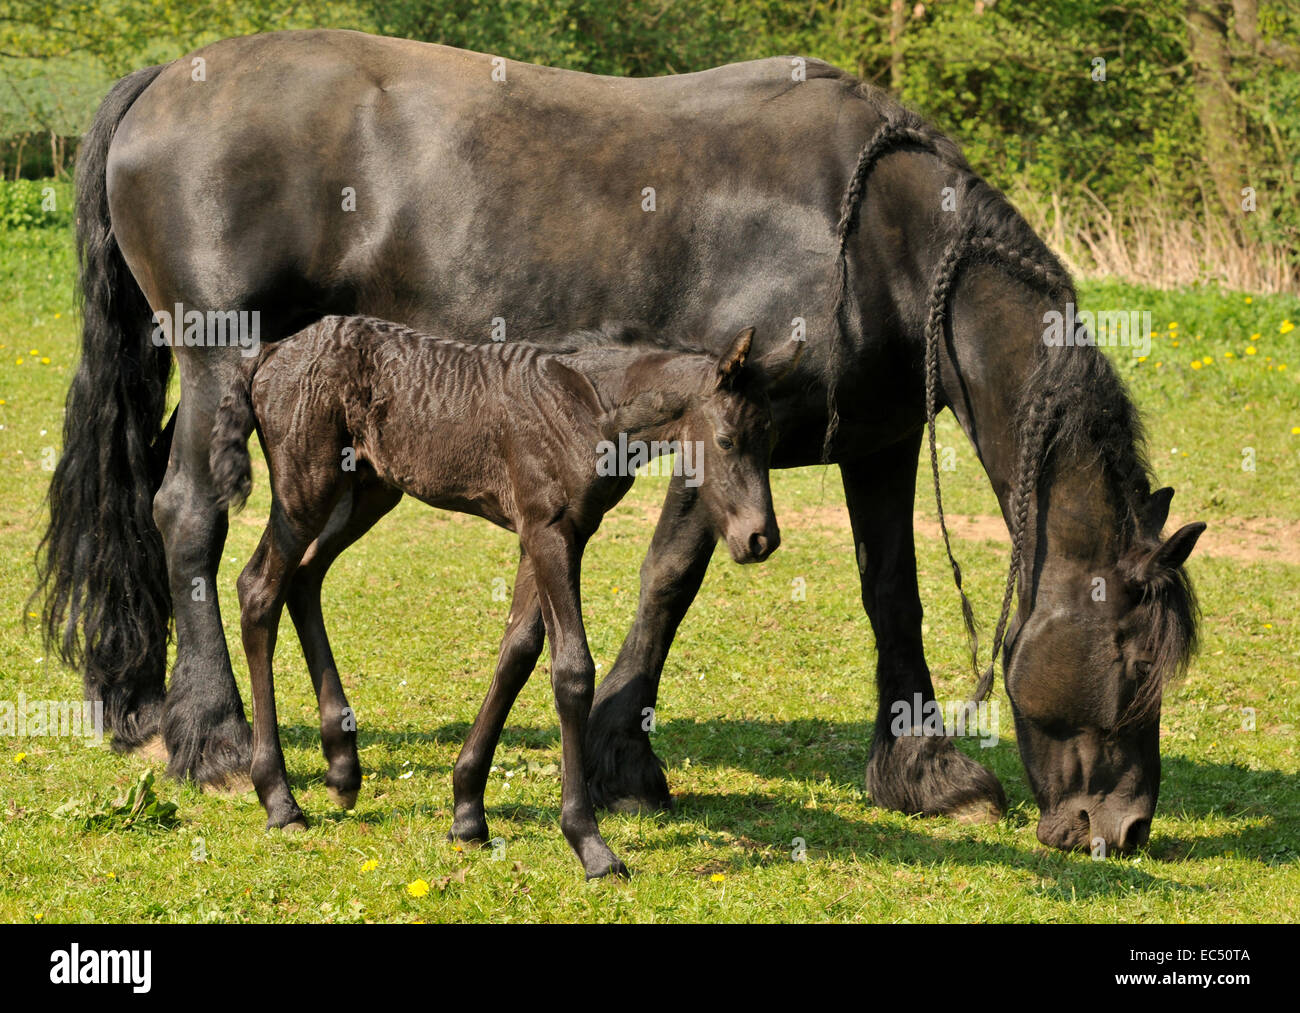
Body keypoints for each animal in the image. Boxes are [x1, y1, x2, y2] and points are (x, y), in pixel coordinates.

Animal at [207, 315, 784, 878]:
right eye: (727, 440)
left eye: (770, 439)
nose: (762, 539)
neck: (588, 405)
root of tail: (272, 351)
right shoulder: (550, 531)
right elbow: (571, 671)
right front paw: (590, 845)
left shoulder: (550, 533)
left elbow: (518, 653)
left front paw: (467, 815)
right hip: (306, 487)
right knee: (259, 589)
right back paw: (280, 800)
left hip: (370, 489)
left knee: (305, 577)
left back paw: (343, 768)